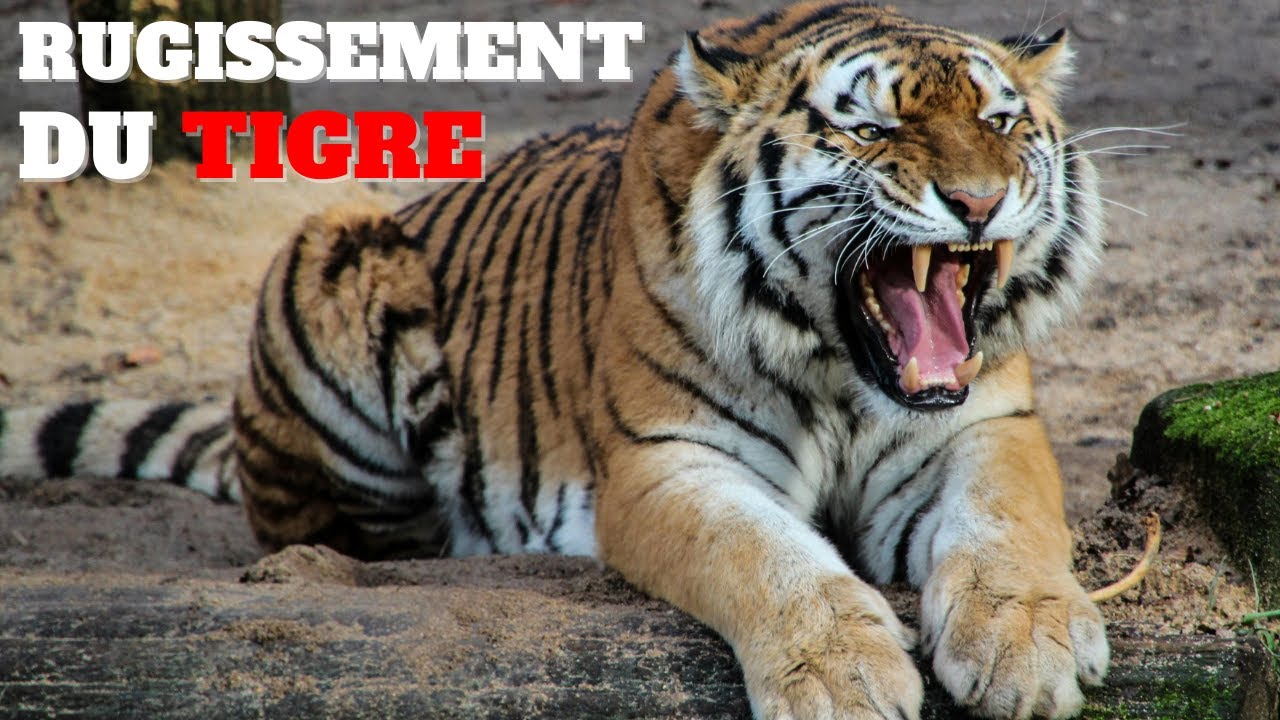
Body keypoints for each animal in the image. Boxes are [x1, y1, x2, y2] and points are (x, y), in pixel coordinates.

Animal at [0, 2, 1112, 718]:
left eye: (1000, 120)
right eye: (872, 127)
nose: (979, 202)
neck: (843, 370)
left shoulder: (984, 426)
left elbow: (1009, 524)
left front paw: (1028, 644)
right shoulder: (667, 461)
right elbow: (766, 556)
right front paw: (843, 677)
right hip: (333, 246)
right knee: (337, 534)